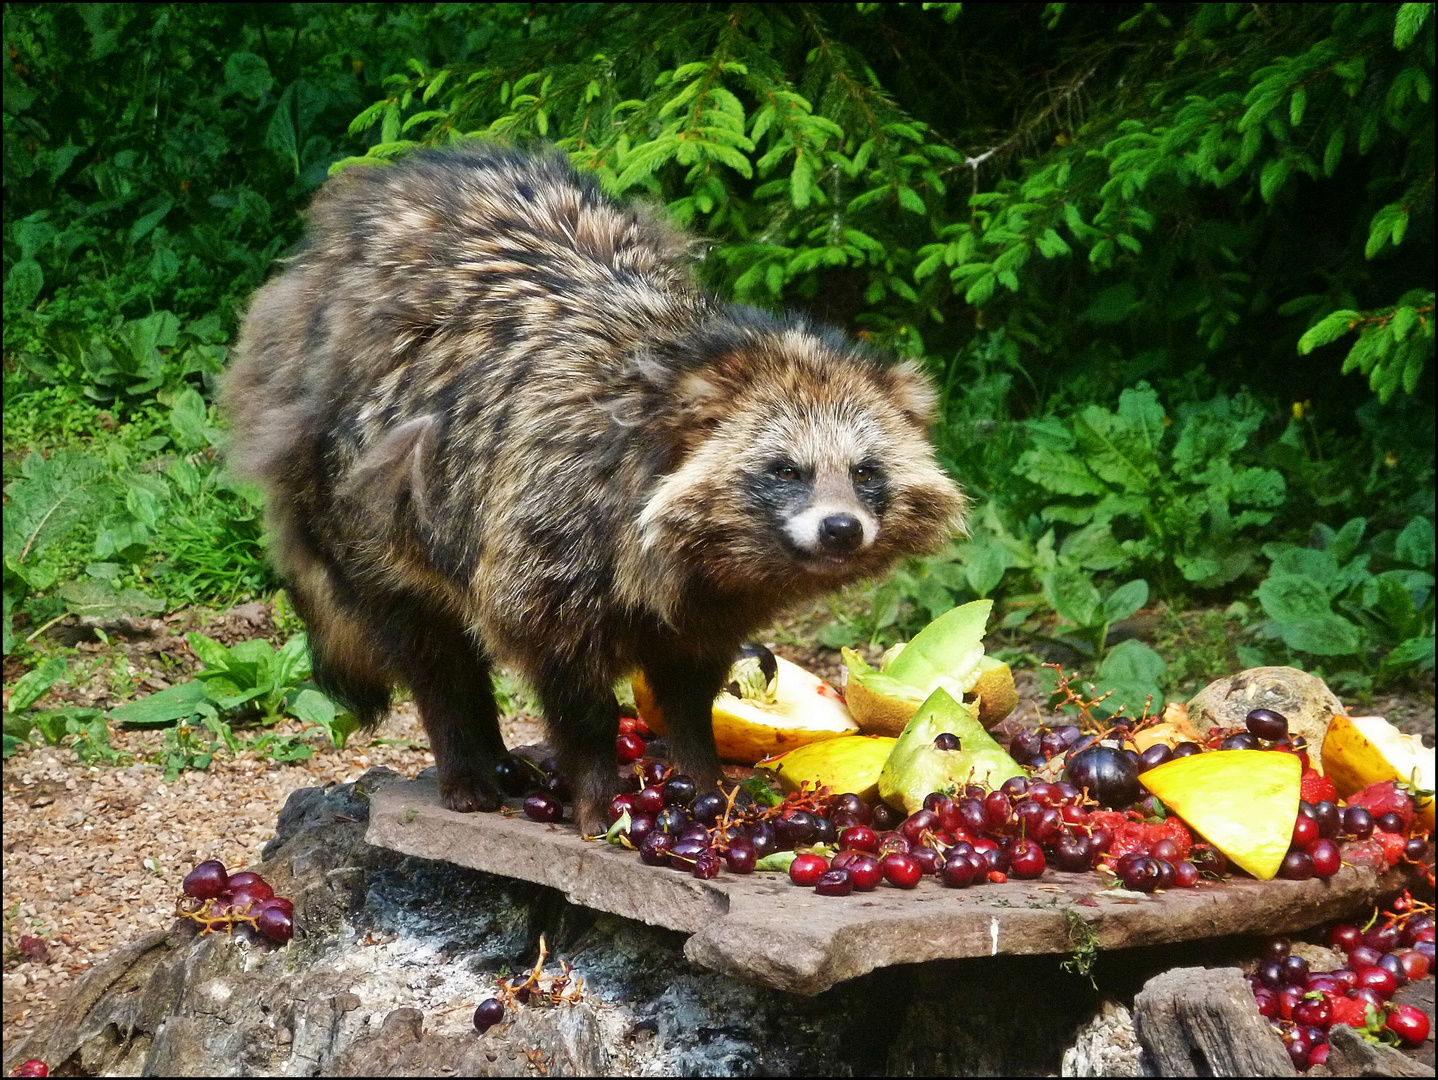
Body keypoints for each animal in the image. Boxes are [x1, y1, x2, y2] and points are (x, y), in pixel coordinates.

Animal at [227, 148, 966, 834]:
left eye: (866, 471)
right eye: (786, 470)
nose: (842, 528)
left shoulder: (707, 601)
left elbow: (688, 690)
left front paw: (699, 778)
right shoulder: (548, 526)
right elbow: (572, 688)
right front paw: (596, 789)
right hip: (366, 494)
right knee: (431, 649)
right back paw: (465, 756)